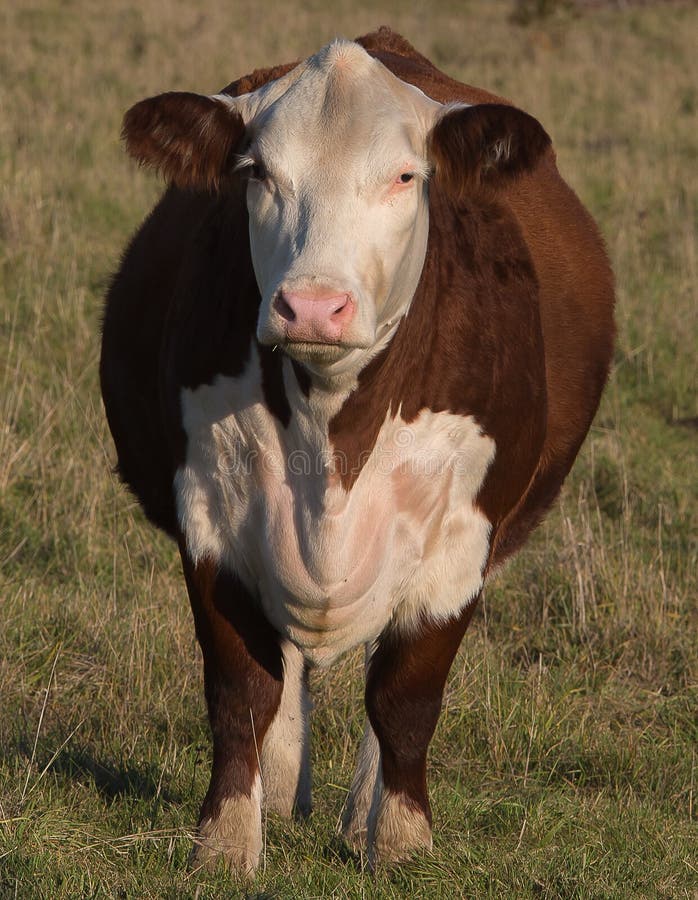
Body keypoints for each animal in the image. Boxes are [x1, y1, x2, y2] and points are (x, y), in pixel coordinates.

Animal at [100, 27, 614, 876]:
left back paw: (358, 815)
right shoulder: (209, 513)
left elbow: (405, 697)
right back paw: (283, 784)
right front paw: (227, 840)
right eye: (258, 173)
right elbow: (239, 687)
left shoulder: (463, 537)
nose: (313, 305)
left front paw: (401, 841)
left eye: (405, 176)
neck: (332, 428)